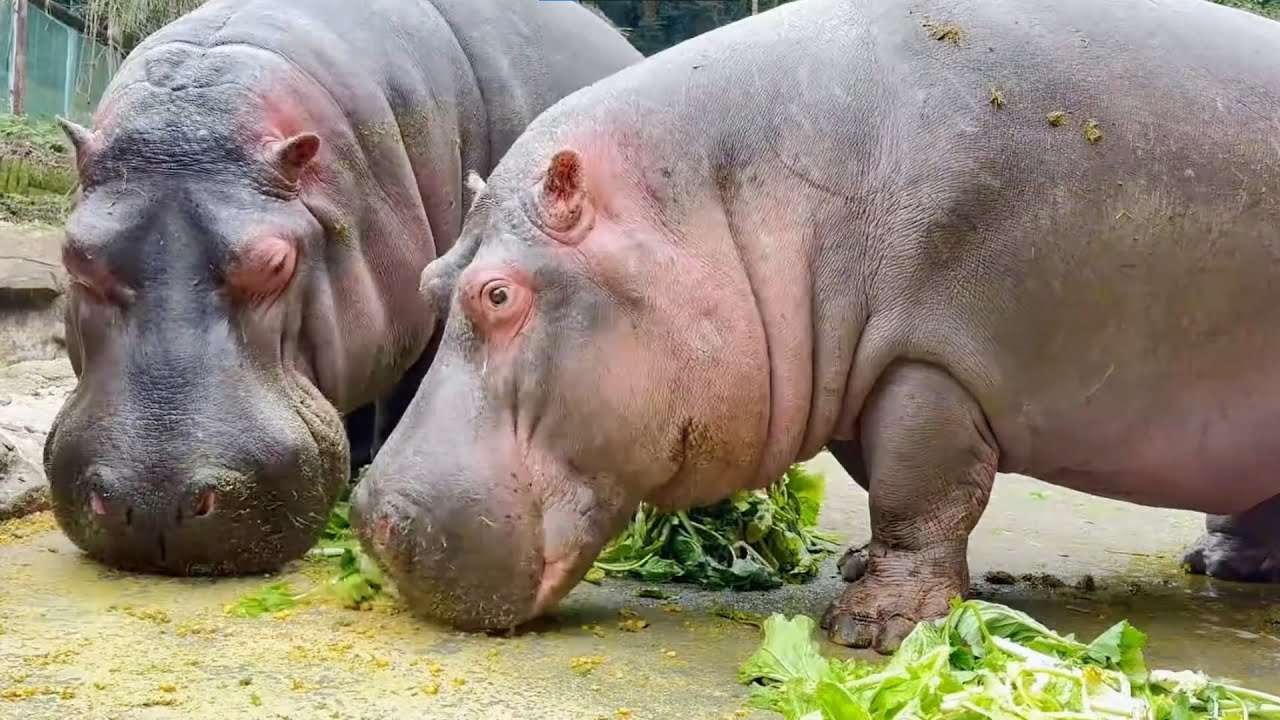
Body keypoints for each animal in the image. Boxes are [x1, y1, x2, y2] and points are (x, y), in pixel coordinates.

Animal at [350, 0, 1280, 652]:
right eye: (434, 280)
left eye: (499, 296)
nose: (369, 521)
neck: (721, 202)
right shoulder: (855, 375)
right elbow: (894, 490)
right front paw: (862, 569)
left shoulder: (926, 360)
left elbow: (918, 489)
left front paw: (874, 628)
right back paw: (1224, 566)